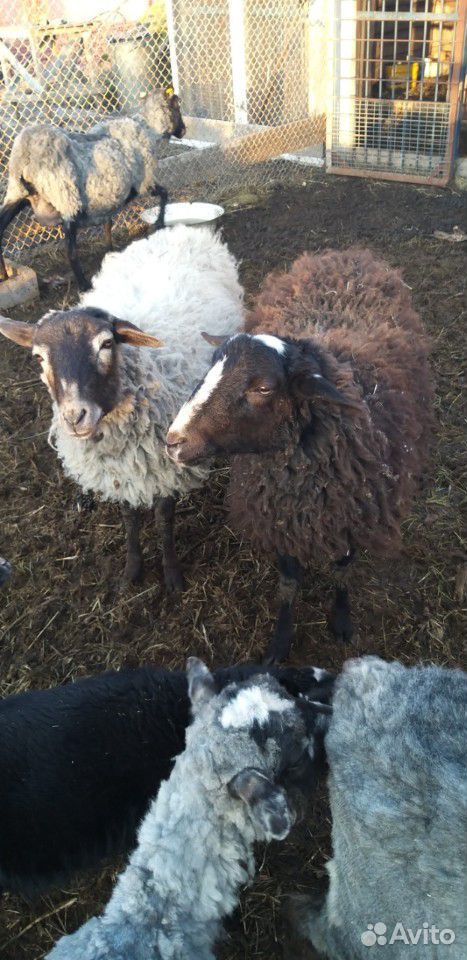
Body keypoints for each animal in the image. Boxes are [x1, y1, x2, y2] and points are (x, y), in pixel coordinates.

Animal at [0, 87, 186, 290]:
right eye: (176, 105)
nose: (184, 130)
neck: (149, 129)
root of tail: (27, 154)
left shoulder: (110, 198)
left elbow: (108, 224)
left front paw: (109, 249)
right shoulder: (143, 183)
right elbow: (164, 193)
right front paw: (159, 223)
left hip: (16, 194)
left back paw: (4, 275)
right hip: (67, 201)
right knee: (71, 252)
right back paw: (84, 285)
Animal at [0, 224, 243, 589]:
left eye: (106, 344)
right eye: (39, 358)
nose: (75, 417)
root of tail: (180, 229)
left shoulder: (165, 460)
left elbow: (163, 518)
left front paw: (172, 574)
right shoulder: (120, 471)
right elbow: (129, 517)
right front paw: (132, 570)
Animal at [166, 247, 434, 662]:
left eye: (263, 388)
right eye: (210, 368)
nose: (173, 441)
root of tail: (345, 253)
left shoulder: (350, 518)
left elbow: (342, 571)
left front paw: (342, 620)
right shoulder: (279, 519)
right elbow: (289, 583)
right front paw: (280, 641)